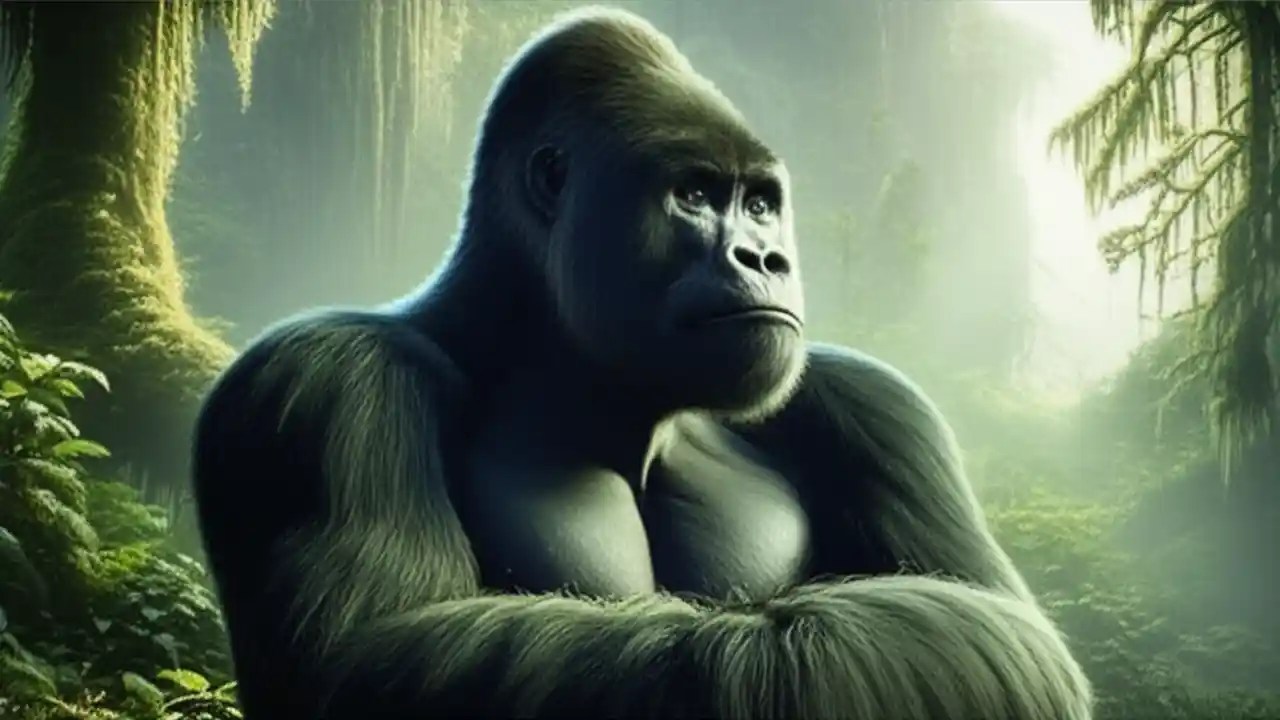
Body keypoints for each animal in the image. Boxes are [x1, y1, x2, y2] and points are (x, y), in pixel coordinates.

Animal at [192, 7, 1093, 719]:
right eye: (694, 195)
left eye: (760, 203)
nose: (766, 257)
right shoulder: (327, 379)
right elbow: (371, 653)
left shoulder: (876, 405)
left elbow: (999, 619)